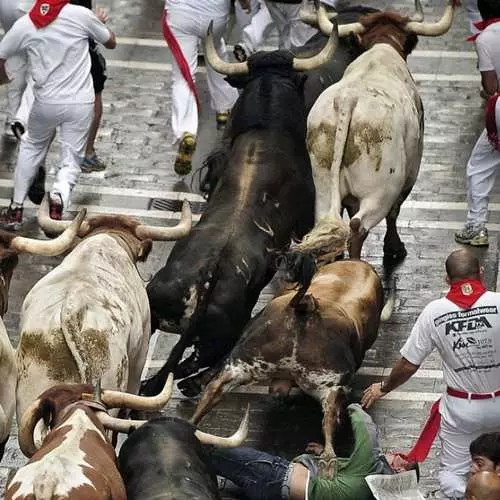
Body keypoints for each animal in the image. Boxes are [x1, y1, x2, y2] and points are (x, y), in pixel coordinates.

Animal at [296, 0, 458, 264]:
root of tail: (348, 99)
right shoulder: (410, 173)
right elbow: (395, 212)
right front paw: (394, 246)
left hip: (323, 182)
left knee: (328, 228)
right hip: (382, 188)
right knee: (358, 226)